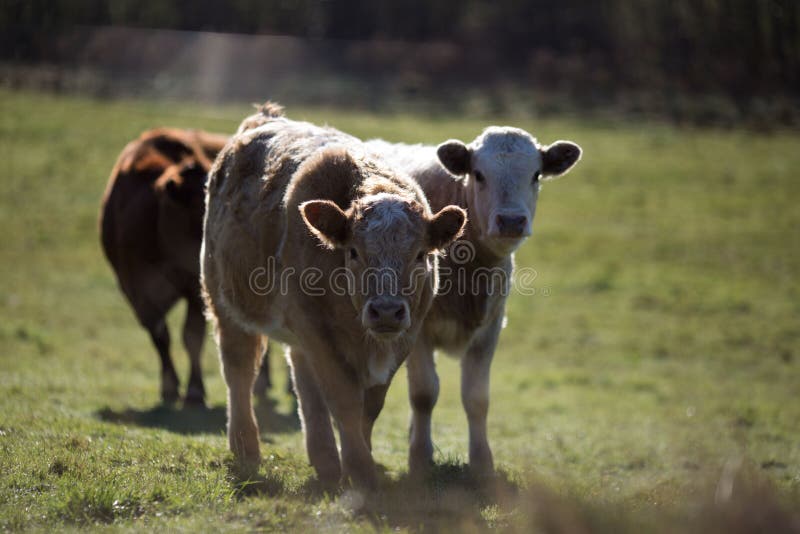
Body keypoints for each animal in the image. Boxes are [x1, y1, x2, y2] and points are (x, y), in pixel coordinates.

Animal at [100, 128, 279, 406]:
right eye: (205, 208)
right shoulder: (136, 290)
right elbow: (160, 335)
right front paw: (169, 387)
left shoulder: (196, 286)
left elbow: (191, 337)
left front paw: (195, 390)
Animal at [201, 103, 466, 489]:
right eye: (353, 252)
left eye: (420, 255)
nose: (386, 311)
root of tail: (262, 119)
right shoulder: (320, 334)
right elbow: (344, 402)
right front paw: (361, 473)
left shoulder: (404, 335)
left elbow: (369, 407)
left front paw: (357, 463)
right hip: (226, 303)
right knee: (239, 371)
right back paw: (246, 448)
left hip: (298, 333)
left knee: (303, 383)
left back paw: (325, 461)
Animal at [367, 128, 582, 477]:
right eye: (479, 174)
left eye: (536, 175)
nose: (511, 221)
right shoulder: (417, 329)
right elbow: (424, 393)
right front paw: (419, 460)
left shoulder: (489, 328)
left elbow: (477, 399)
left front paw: (482, 464)